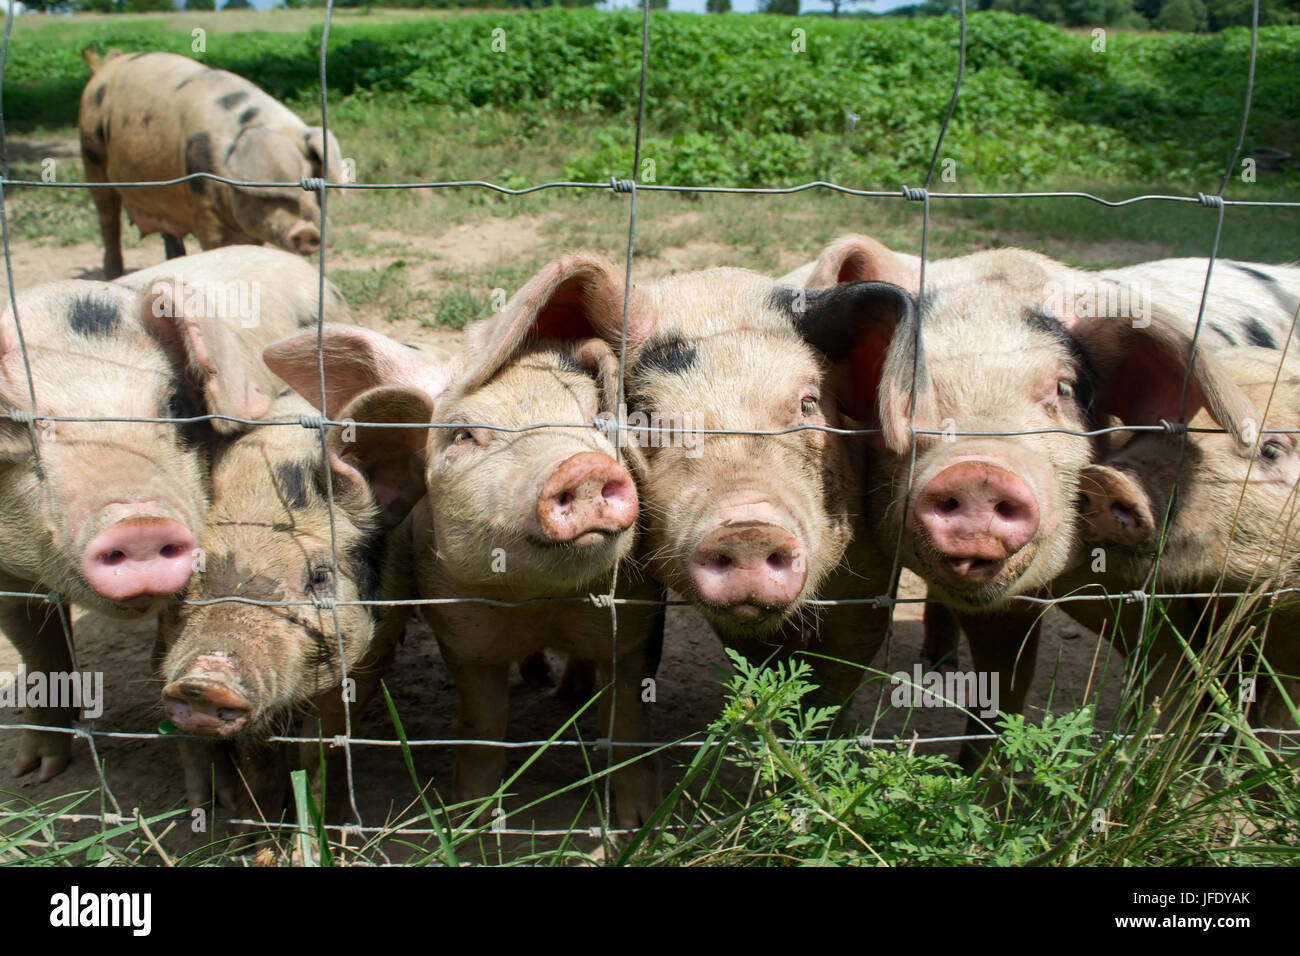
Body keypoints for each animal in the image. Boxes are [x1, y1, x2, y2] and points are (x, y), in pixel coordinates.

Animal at [79, 48, 344, 280]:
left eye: (313, 181)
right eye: (273, 192)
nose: (308, 231)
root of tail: (104, 67)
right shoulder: (202, 199)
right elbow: (217, 247)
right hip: (91, 155)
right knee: (108, 219)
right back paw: (113, 275)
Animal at [157, 389, 420, 819]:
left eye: (320, 576)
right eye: (192, 571)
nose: (205, 682)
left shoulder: (376, 645)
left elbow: (323, 744)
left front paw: (325, 825)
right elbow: (259, 756)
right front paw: (252, 830)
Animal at [264, 290, 665, 829]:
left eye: (597, 417)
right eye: (462, 435)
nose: (581, 465)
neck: (543, 602)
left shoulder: (639, 621)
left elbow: (626, 725)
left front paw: (640, 823)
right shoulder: (461, 633)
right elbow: (483, 725)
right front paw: (469, 818)